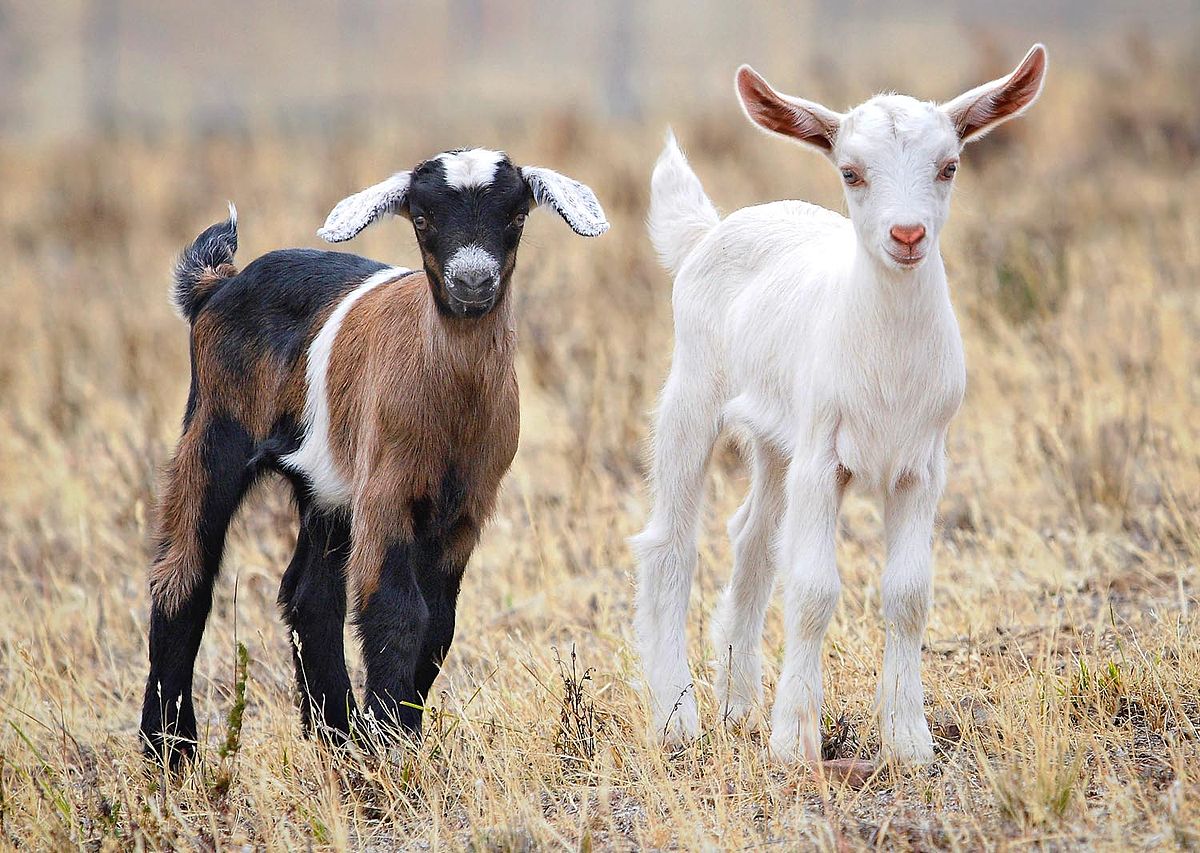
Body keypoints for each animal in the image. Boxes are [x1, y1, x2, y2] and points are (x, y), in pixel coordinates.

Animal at [140, 148, 608, 765]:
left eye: (516, 217)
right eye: (422, 218)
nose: (472, 281)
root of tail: (218, 286)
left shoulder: (466, 508)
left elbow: (438, 624)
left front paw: (390, 734)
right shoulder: (386, 491)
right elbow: (397, 611)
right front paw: (392, 742)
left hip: (327, 487)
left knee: (309, 597)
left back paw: (335, 734)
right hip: (214, 430)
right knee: (182, 576)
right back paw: (171, 751)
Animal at [632, 46, 1047, 765]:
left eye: (950, 165)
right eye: (851, 172)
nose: (906, 234)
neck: (887, 363)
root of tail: (707, 233)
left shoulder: (920, 467)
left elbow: (908, 594)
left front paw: (908, 739)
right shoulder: (823, 458)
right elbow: (814, 589)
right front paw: (795, 740)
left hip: (777, 440)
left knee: (752, 538)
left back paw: (738, 704)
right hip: (693, 393)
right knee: (671, 546)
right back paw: (677, 718)